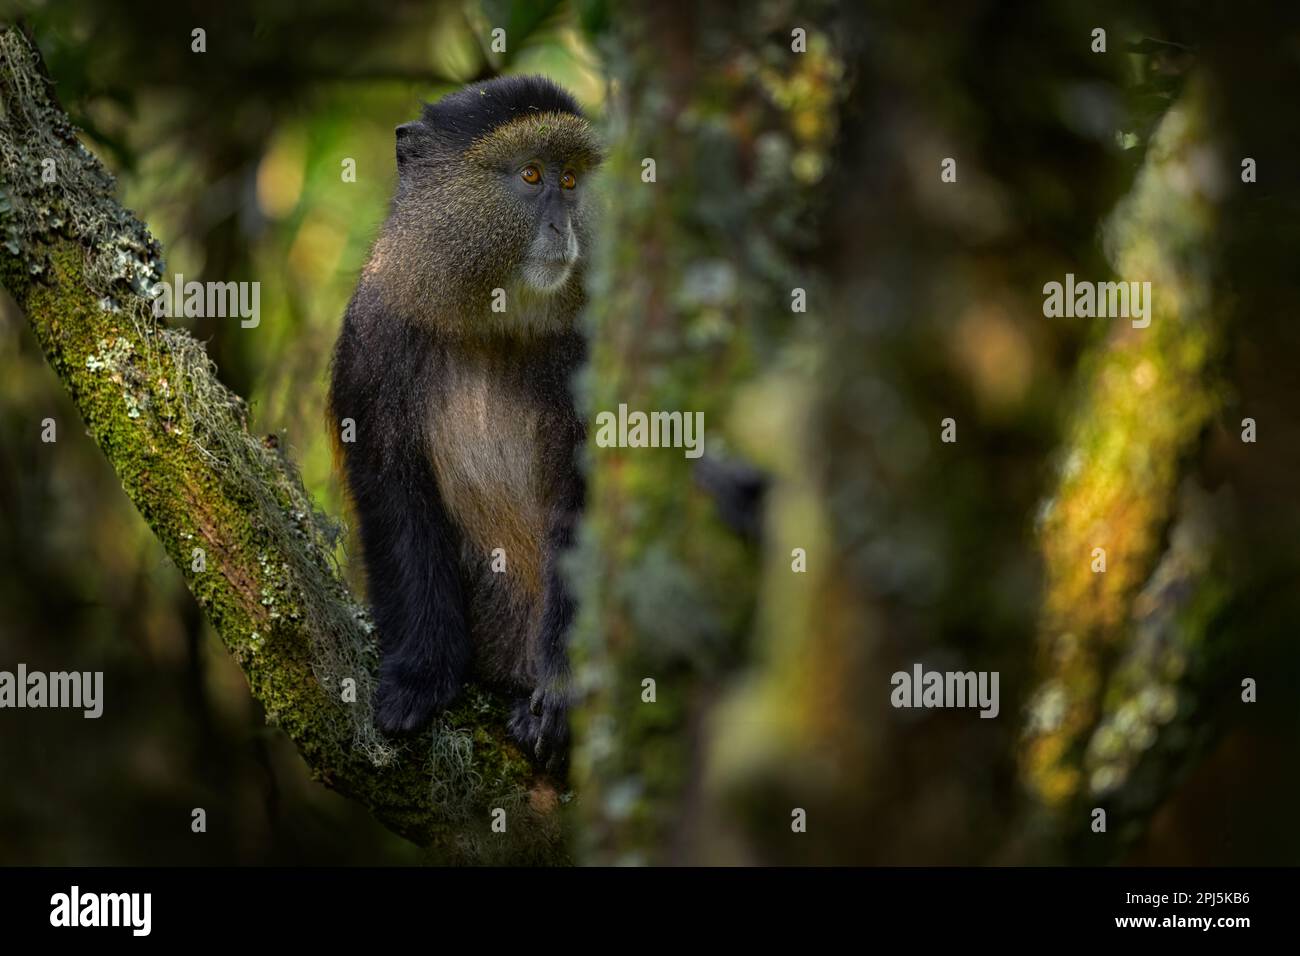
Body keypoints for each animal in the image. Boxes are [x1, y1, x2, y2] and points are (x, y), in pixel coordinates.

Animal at [328, 76, 602, 772]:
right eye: (531, 175)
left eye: (570, 179)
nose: (562, 225)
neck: (492, 318)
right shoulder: (374, 333)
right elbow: (395, 494)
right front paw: (421, 677)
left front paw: (559, 698)